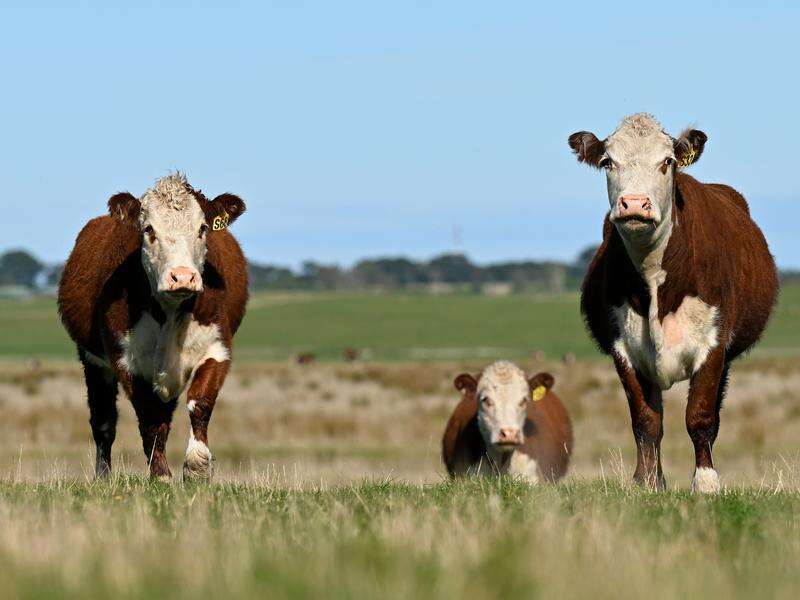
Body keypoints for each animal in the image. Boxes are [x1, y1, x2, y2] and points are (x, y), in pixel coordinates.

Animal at [58, 173, 248, 481]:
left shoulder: (217, 348)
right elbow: (148, 417)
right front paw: (160, 475)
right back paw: (103, 476)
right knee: (104, 421)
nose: (182, 277)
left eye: (203, 228)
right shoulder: (126, 361)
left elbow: (199, 403)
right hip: (92, 361)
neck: (170, 312)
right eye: (149, 229)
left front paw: (196, 468)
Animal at [568, 113, 778, 493]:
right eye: (607, 162)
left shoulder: (714, 345)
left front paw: (706, 482)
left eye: (667, 162)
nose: (635, 203)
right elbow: (646, 421)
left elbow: (701, 416)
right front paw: (648, 482)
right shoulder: (624, 348)